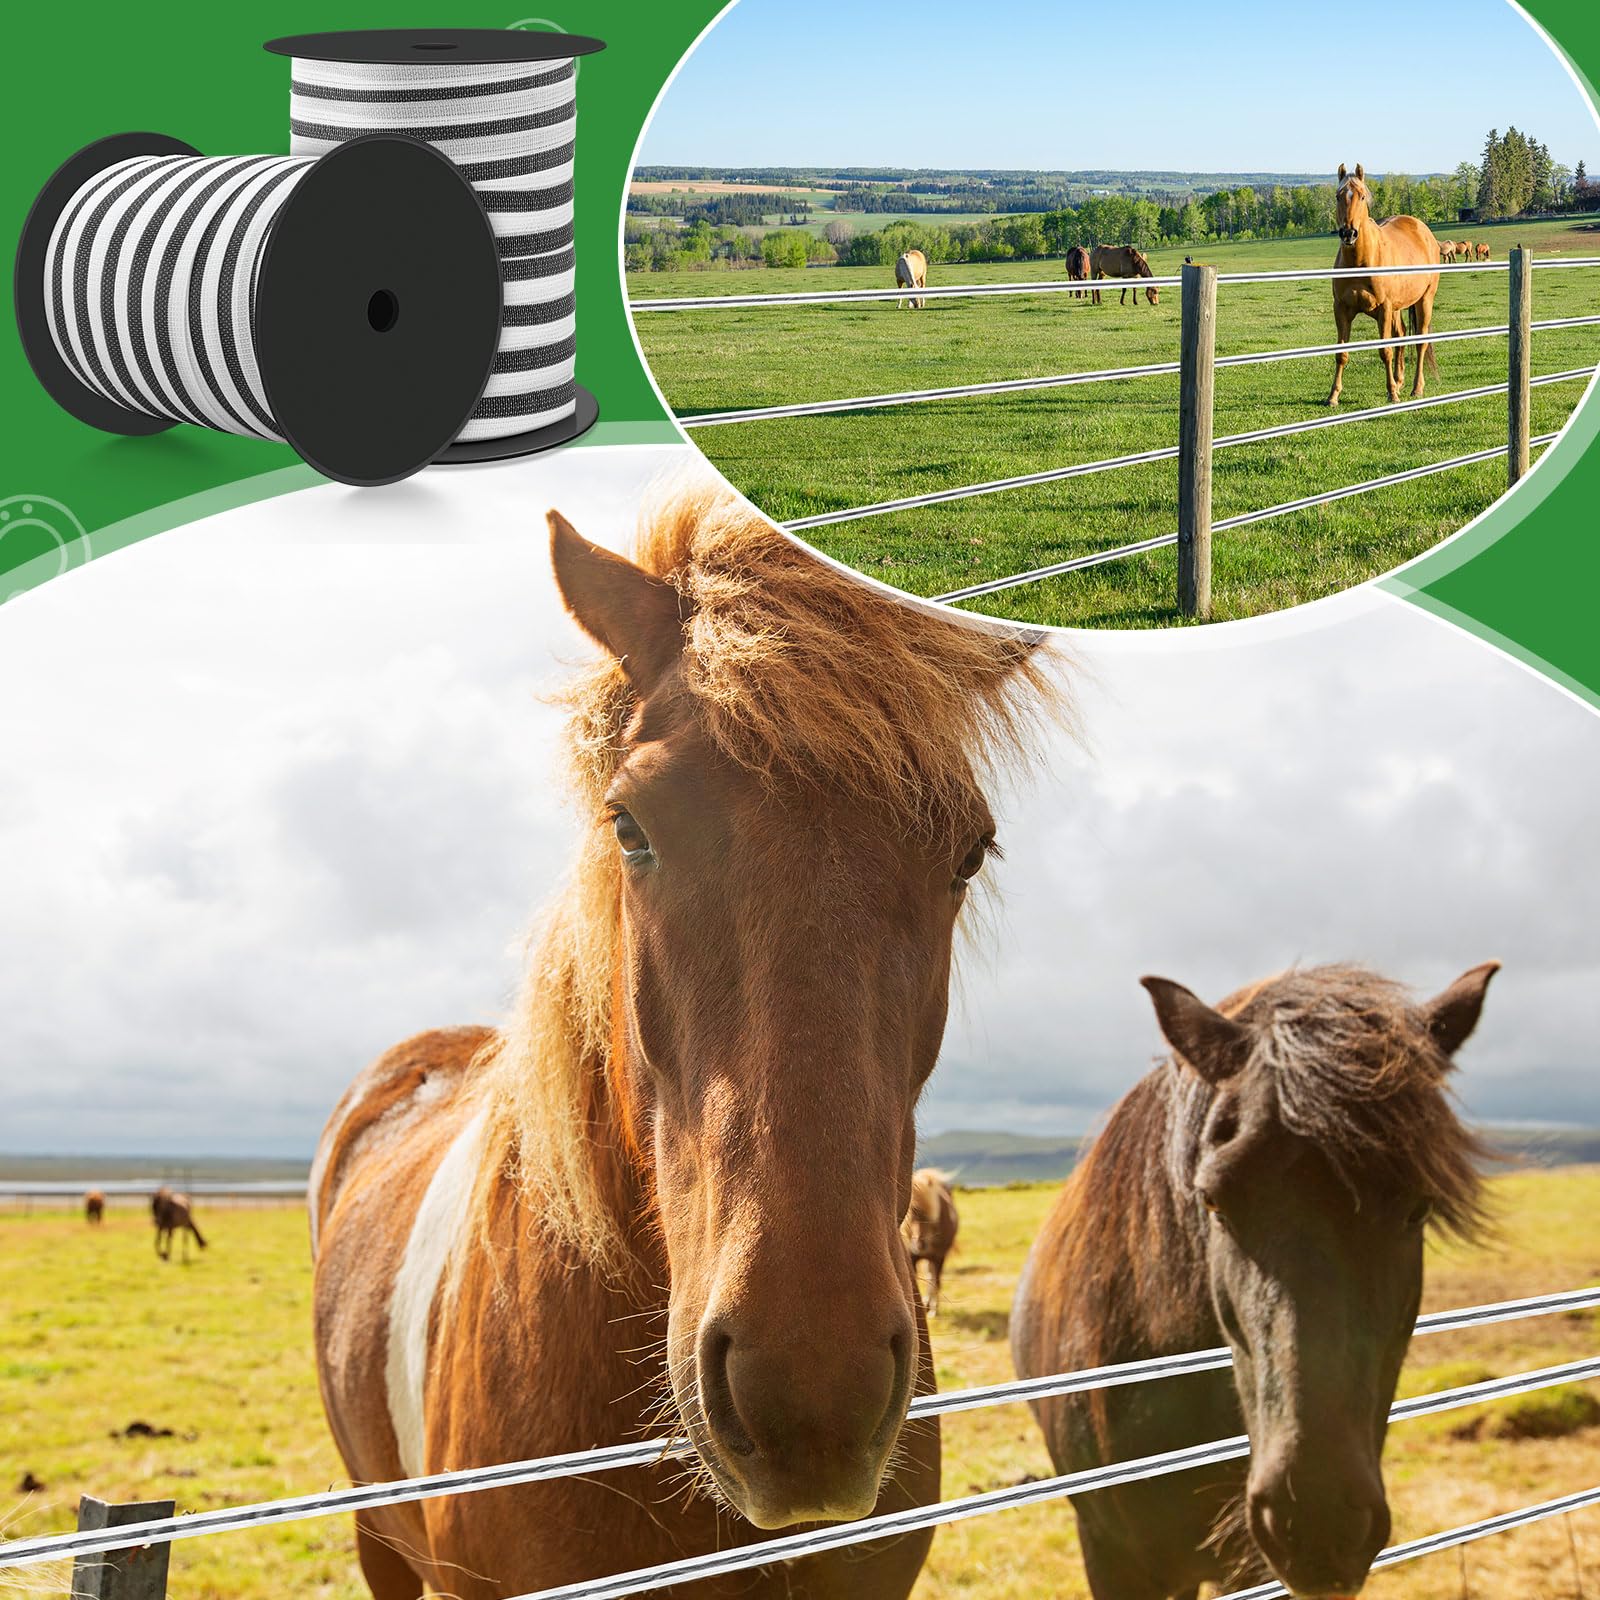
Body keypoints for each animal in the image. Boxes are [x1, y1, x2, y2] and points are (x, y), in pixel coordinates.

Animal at [900, 1170, 959, 1317]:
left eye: (930, 1216)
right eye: (910, 1216)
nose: (920, 1245)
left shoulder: (939, 1257)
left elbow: (935, 1282)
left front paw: (934, 1310)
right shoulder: (912, 1257)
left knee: (933, 1278)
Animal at [1328, 163, 1442, 407]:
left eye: (1362, 196)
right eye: (1338, 196)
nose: (1349, 233)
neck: (1360, 261)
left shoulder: (1384, 308)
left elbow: (1385, 351)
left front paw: (1392, 393)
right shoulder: (1341, 309)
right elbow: (1341, 353)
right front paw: (1333, 395)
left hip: (1424, 301)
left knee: (1420, 341)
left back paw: (1416, 388)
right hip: (1397, 308)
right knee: (1402, 334)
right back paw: (1400, 381)